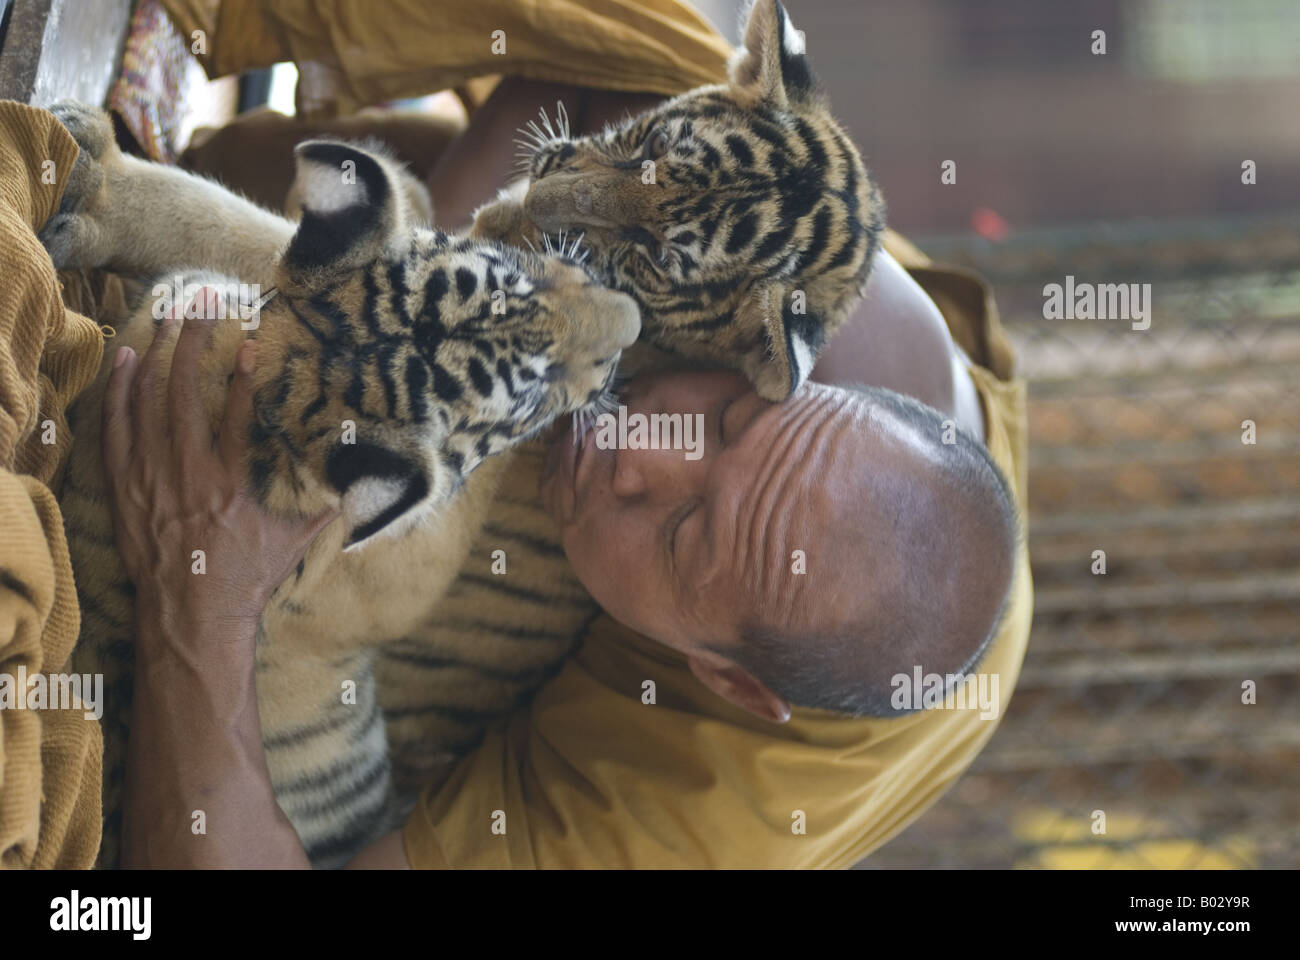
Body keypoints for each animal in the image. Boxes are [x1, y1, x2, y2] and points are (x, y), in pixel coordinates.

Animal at [43, 101, 640, 867]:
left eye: (520, 281)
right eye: (528, 404)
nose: (633, 324)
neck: (265, 384)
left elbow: (240, 224)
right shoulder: (396, 569)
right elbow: (458, 491)